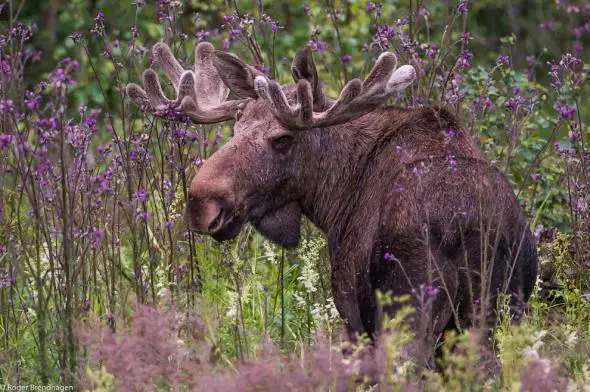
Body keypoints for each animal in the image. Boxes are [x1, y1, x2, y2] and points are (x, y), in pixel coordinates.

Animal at [127, 41, 540, 362]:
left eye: (283, 139)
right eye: (236, 127)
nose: (202, 204)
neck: (334, 196)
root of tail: (466, 225)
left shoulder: (351, 308)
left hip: (408, 308)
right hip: (496, 313)